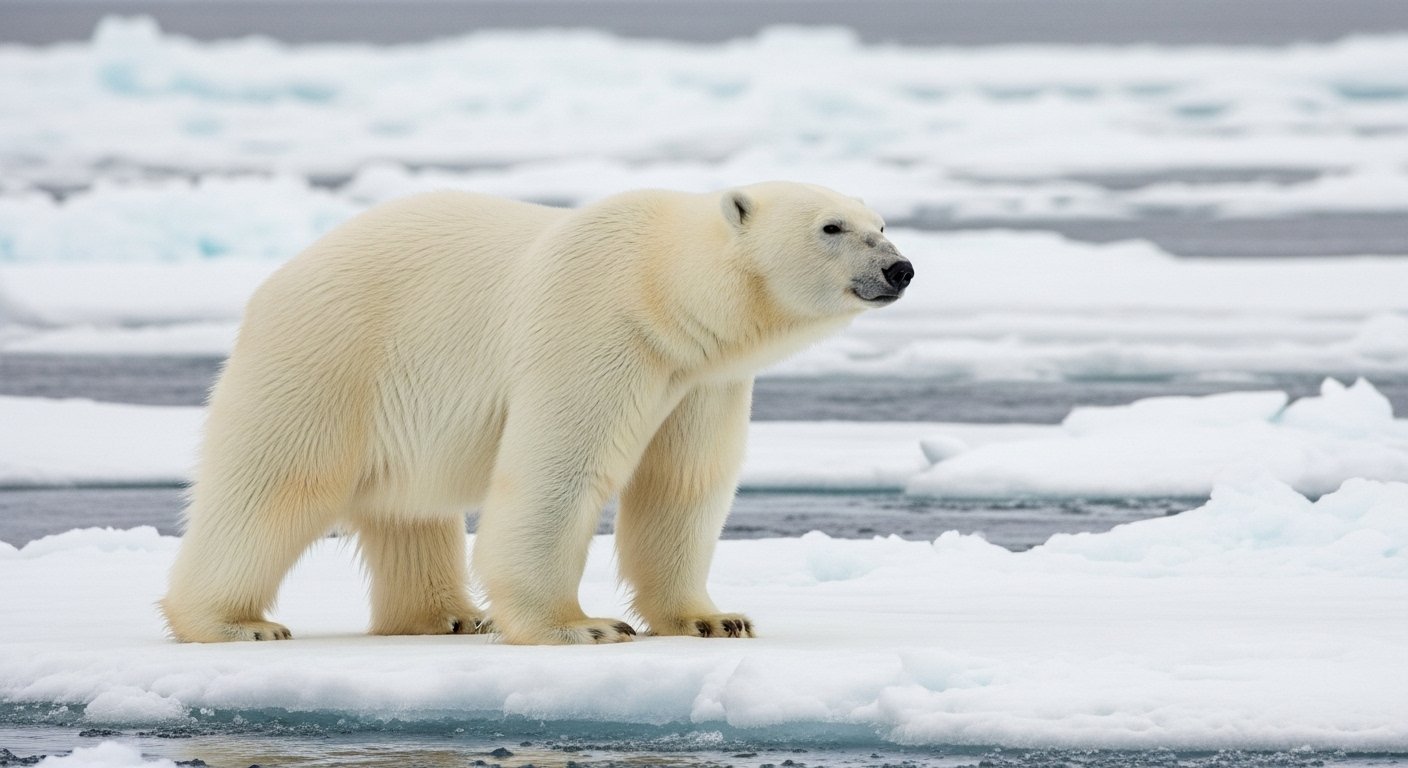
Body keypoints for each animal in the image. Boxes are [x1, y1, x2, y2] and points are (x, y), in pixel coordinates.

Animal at [160, 181, 913, 645]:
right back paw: (236, 622)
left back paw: (449, 618)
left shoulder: (701, 377)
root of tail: (274, 282)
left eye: (882, 224)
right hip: (331, 357)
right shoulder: (596, 328)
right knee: (277, 484)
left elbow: (682, 485)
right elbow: (561, 469)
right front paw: (582, 626)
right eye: (832, 226)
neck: (660, 284)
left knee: (409, 508)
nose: (900, 269)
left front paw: (713, 620)